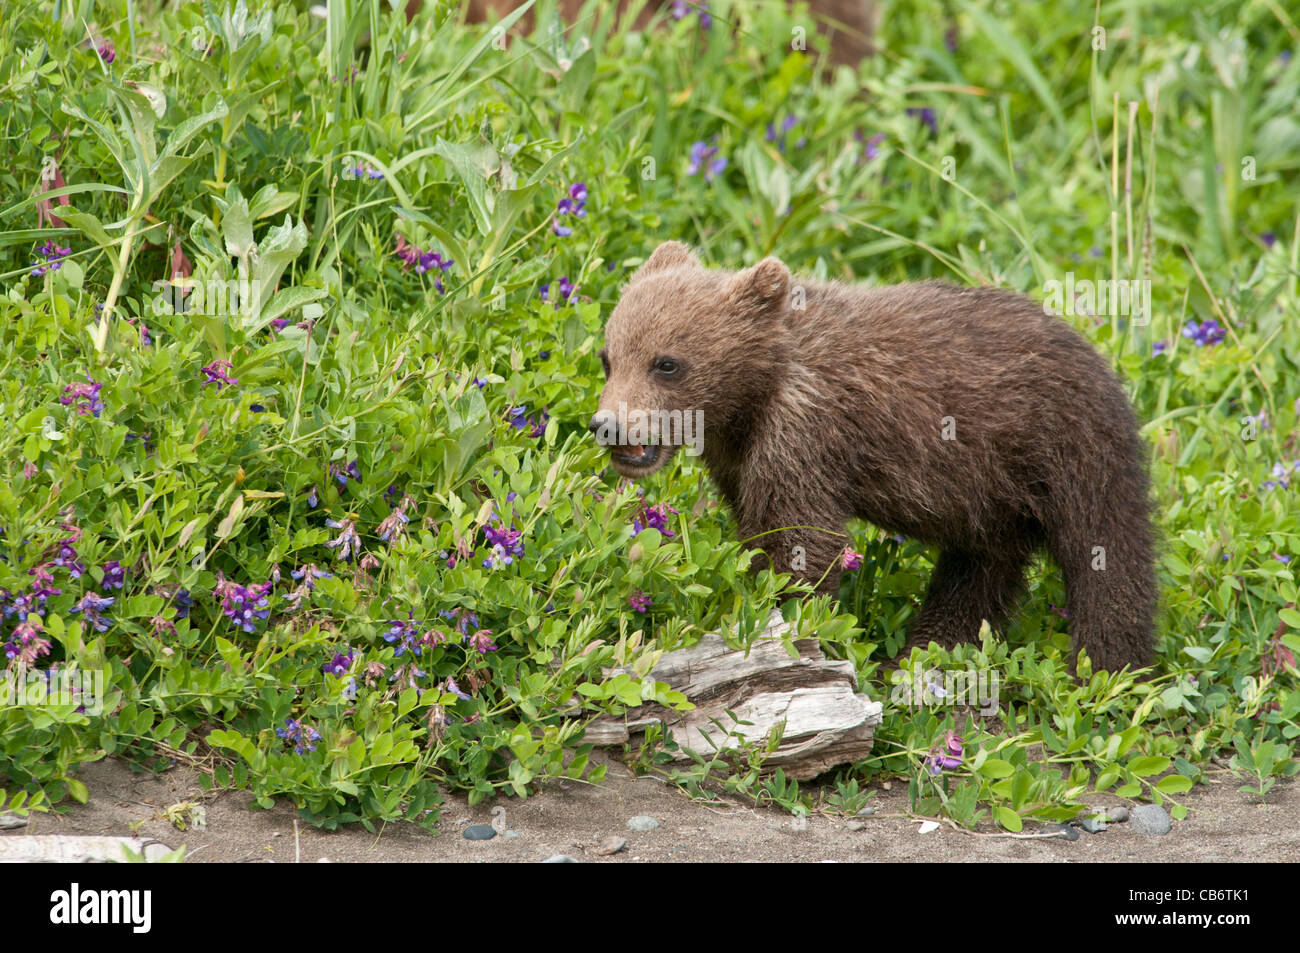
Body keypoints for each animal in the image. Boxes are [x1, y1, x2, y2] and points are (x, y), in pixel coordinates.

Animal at [588, 241, 1158, 672]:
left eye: (666, 363)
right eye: (608, 357)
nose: (608, 425)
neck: (753, 395)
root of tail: (1101, 358)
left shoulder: (809, 431)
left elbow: (802, 539)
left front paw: (787, 628)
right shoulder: (739, 456)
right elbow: (758, 531)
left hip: (1073, 451)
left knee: (1106, 555)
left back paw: (1106, 667)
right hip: (996, 498)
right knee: (981, 568)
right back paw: (925, 650)